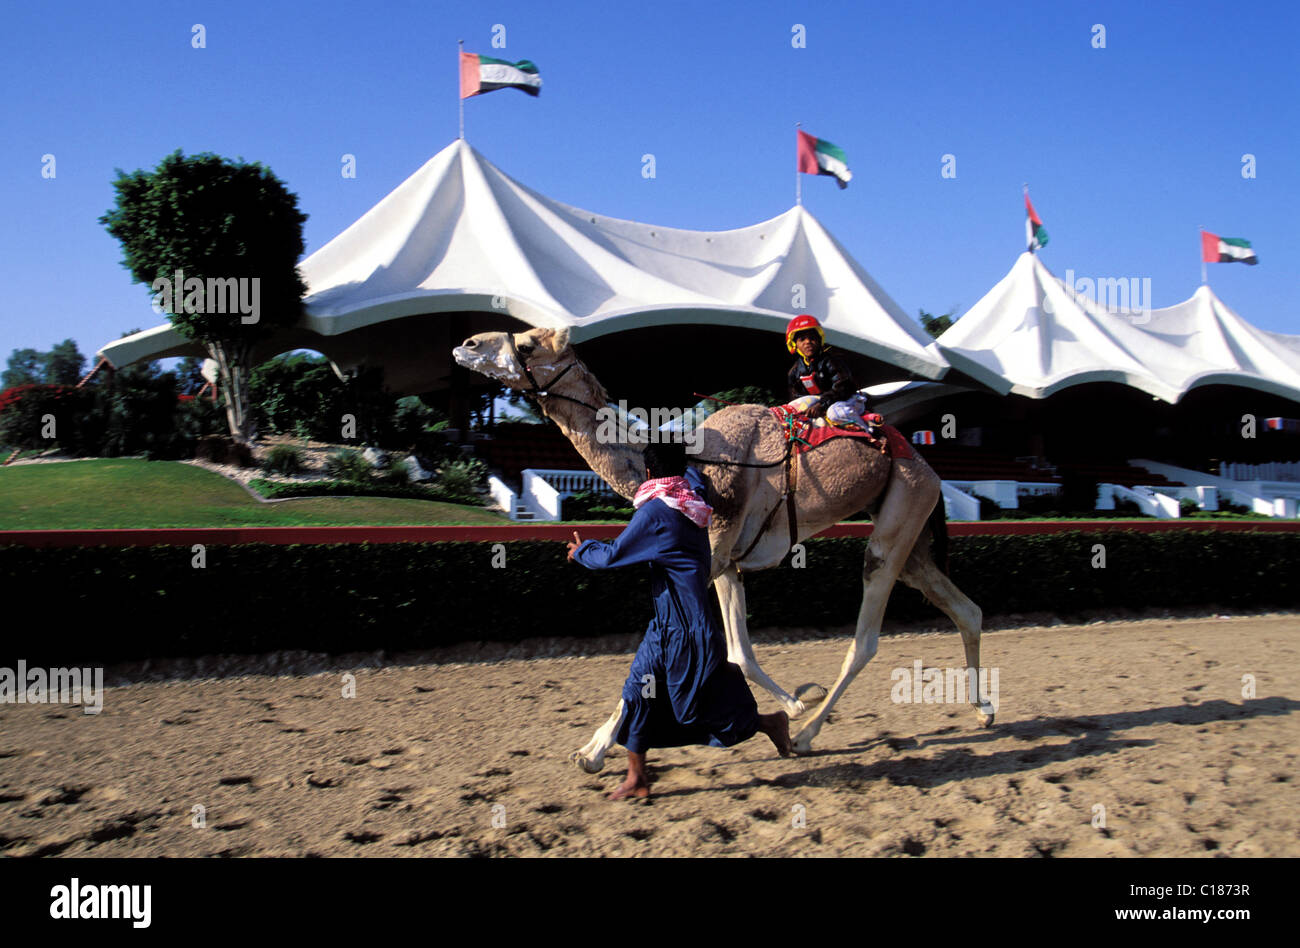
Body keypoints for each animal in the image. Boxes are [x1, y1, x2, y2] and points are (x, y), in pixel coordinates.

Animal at [453, 326, 994, 765]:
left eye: (527, 344)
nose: (467, 344)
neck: (690, 462)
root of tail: (928, 467)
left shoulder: (709, 552)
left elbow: (656, 648)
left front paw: (593, 751)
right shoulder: (727, 563)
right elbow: (739, 651)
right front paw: (795, 699)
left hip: (902, 507)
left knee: (866, 636)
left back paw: (807, 737)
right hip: (911, 532)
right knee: (965, 609)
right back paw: (982, 710)